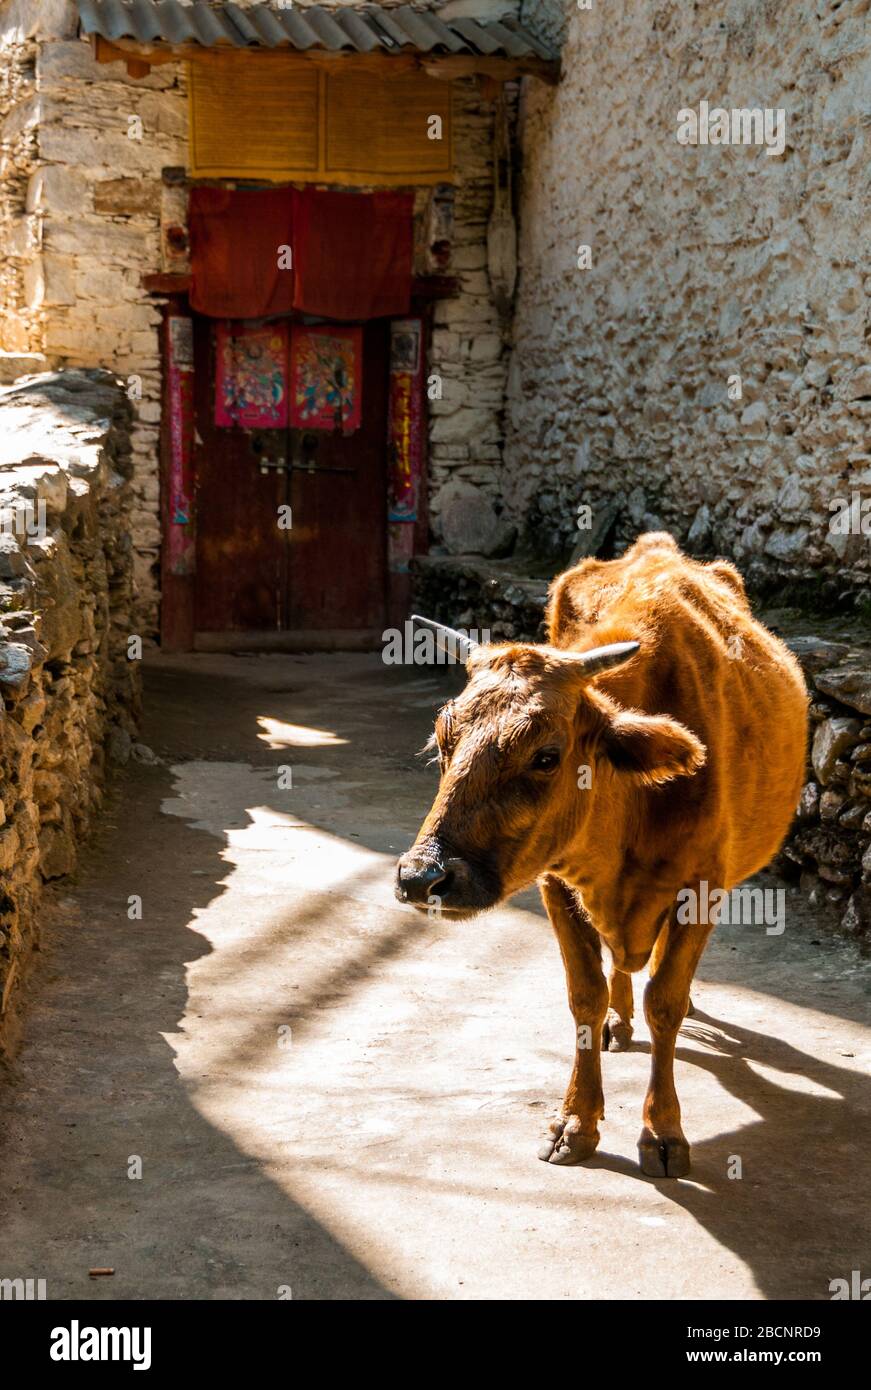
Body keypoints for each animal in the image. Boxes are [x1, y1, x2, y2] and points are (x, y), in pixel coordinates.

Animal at [395, 533, 808, 1177]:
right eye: (444, 742)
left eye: (546, 756)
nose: (421, 877)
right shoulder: (555, 884)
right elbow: (584, 997)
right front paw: (575, 1120)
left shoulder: (702, 886)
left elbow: (665, 1002)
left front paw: (662, 1130)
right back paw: (620, 1017)